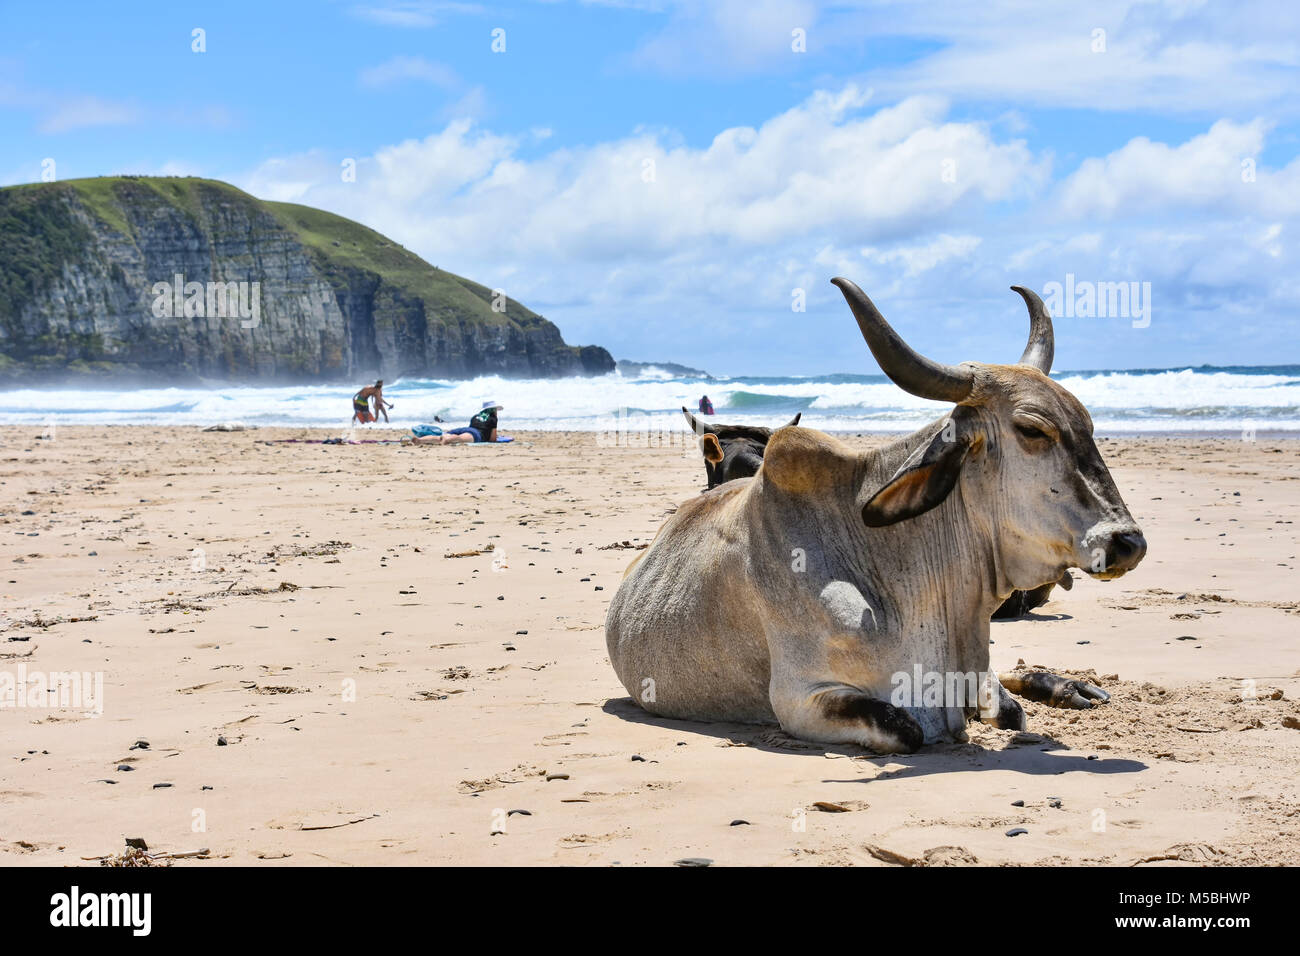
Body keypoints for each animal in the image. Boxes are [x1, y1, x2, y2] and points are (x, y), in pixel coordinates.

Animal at [606, 278, 1145, 752]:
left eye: (1088, 424)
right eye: (1032, 430)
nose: (1129, 543)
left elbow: (1010, 710)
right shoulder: (801, 700)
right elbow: (908, 729)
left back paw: (1068, 686)